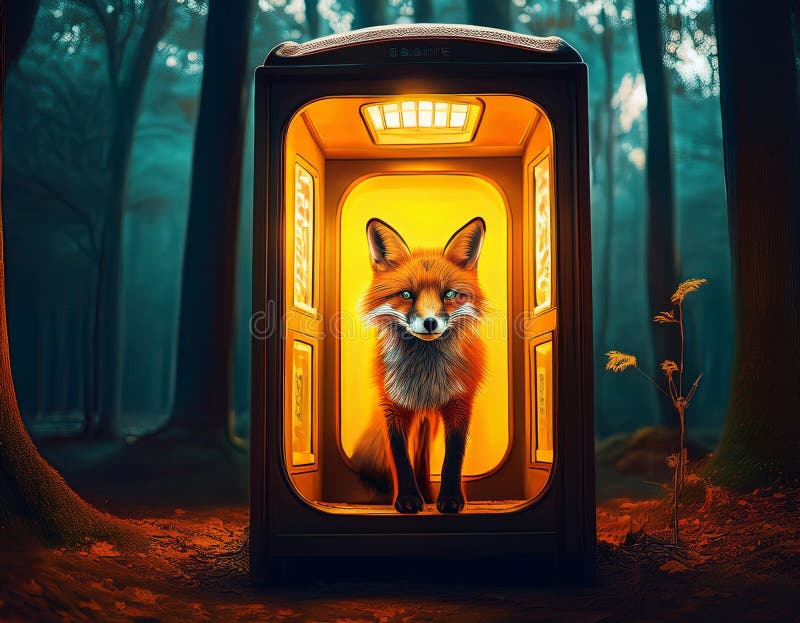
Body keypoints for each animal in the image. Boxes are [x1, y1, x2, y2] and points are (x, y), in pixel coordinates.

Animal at [351, 217, 487, 514]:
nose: (430, 322)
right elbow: (401, 458)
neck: (425, 375)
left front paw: (449, 499)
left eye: (449, 294)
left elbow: (452, 458)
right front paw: (407, 499)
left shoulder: (460, 404)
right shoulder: (392, 406)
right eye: (406, 294)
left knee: (424, 453)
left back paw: (428, 492)